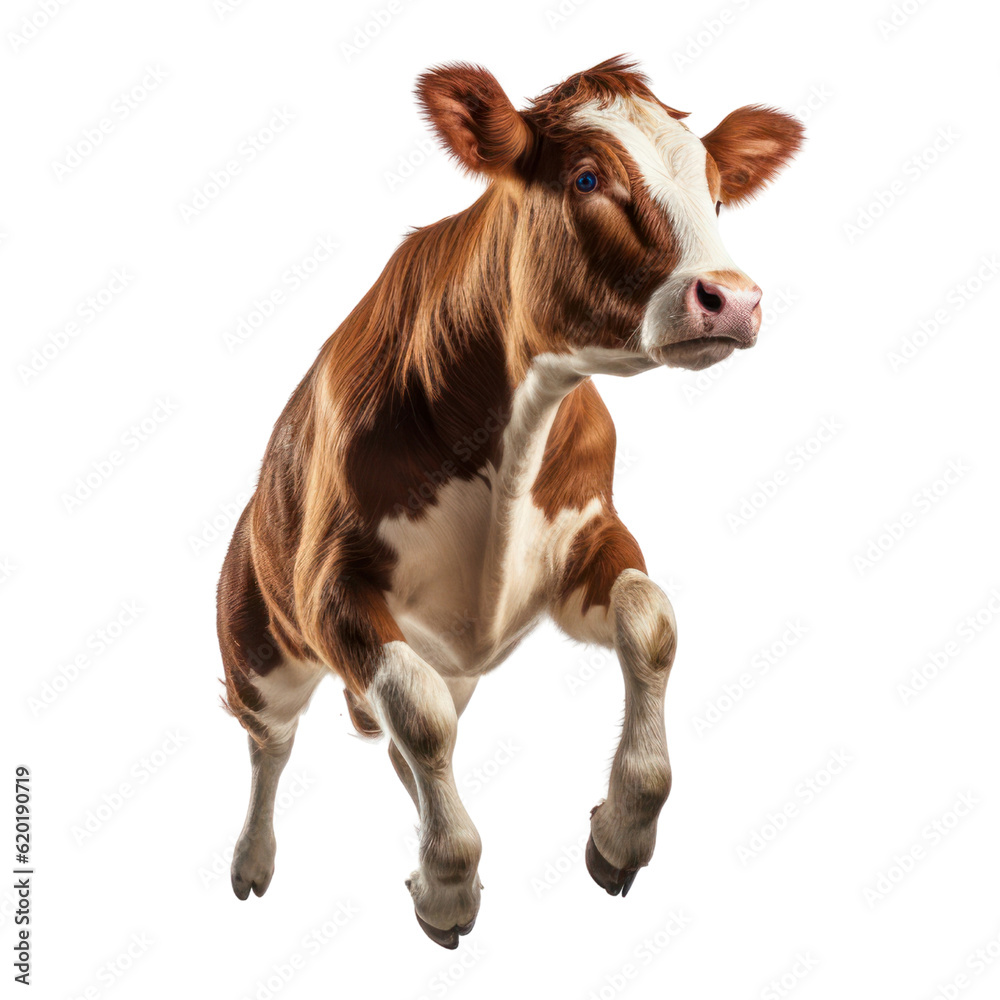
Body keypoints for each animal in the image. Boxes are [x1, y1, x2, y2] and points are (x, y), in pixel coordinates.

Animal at [217, 55, 803, 948]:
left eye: (713, 190)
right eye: (588, 178)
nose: (731, 298)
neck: (517, 427)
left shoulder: (583, 546)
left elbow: (652, 623)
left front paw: (621, 830)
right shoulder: (330, 585)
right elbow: (420, 712)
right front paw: (448, 887)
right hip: (257, 645)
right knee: (272, 745)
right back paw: (253, 861)